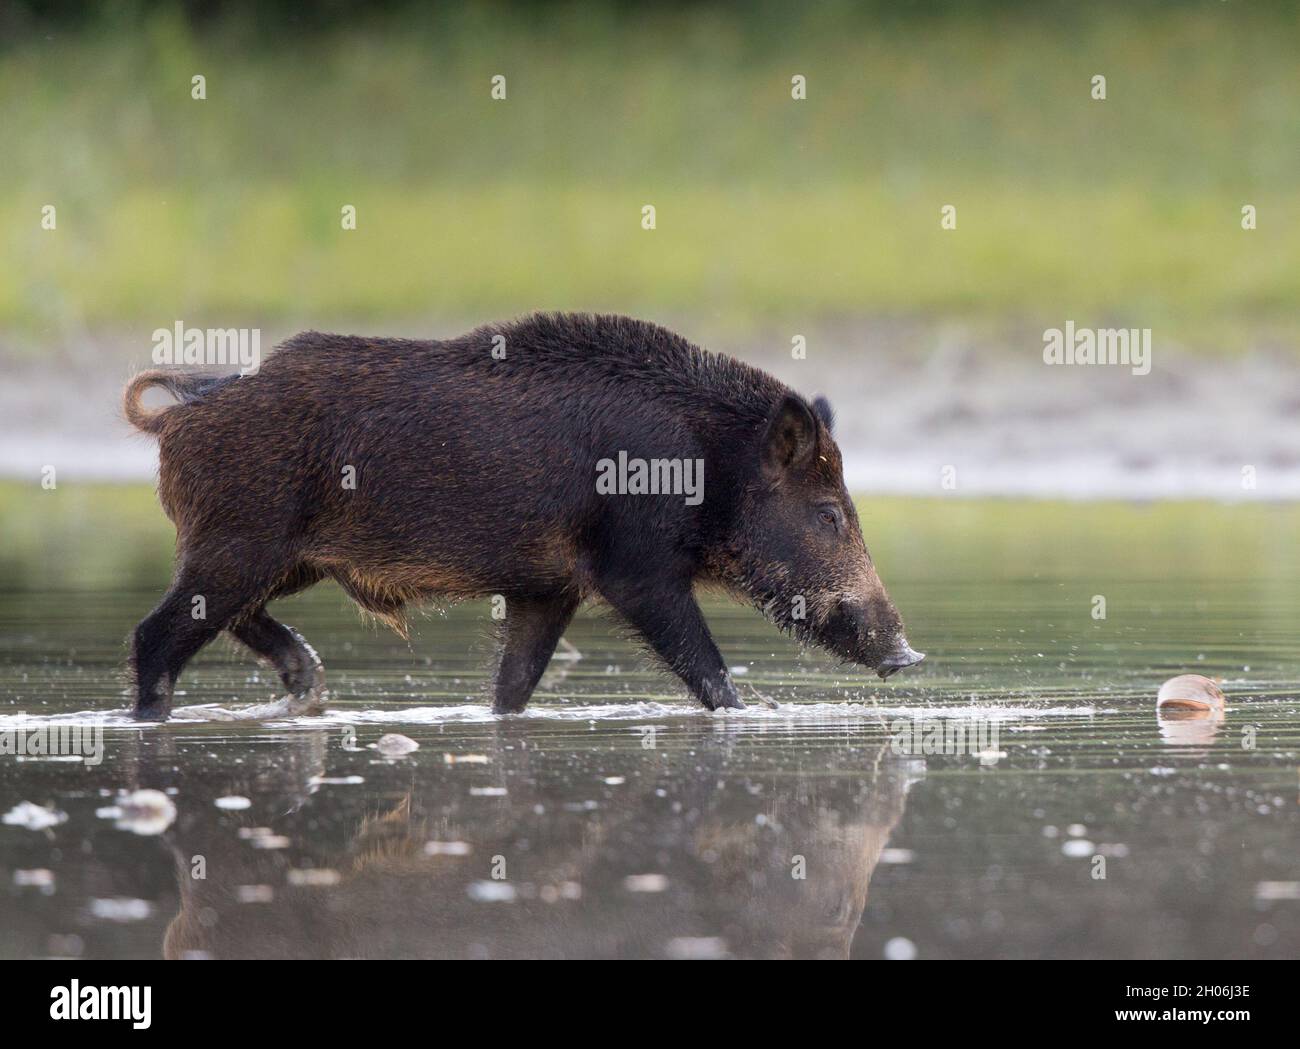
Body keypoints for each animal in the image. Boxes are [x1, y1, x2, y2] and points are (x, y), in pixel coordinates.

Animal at [123, 312, 923, 721]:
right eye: (828, 513)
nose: (907, 654)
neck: (708, 461)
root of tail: (179, 416)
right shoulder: (635, 568)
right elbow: (704, 668)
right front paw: (755, 717)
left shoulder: (548, 589)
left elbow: (515, 685)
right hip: (240, 539)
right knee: (155, 635)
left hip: (279, 557)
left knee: (226, 618)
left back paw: (308, 683)